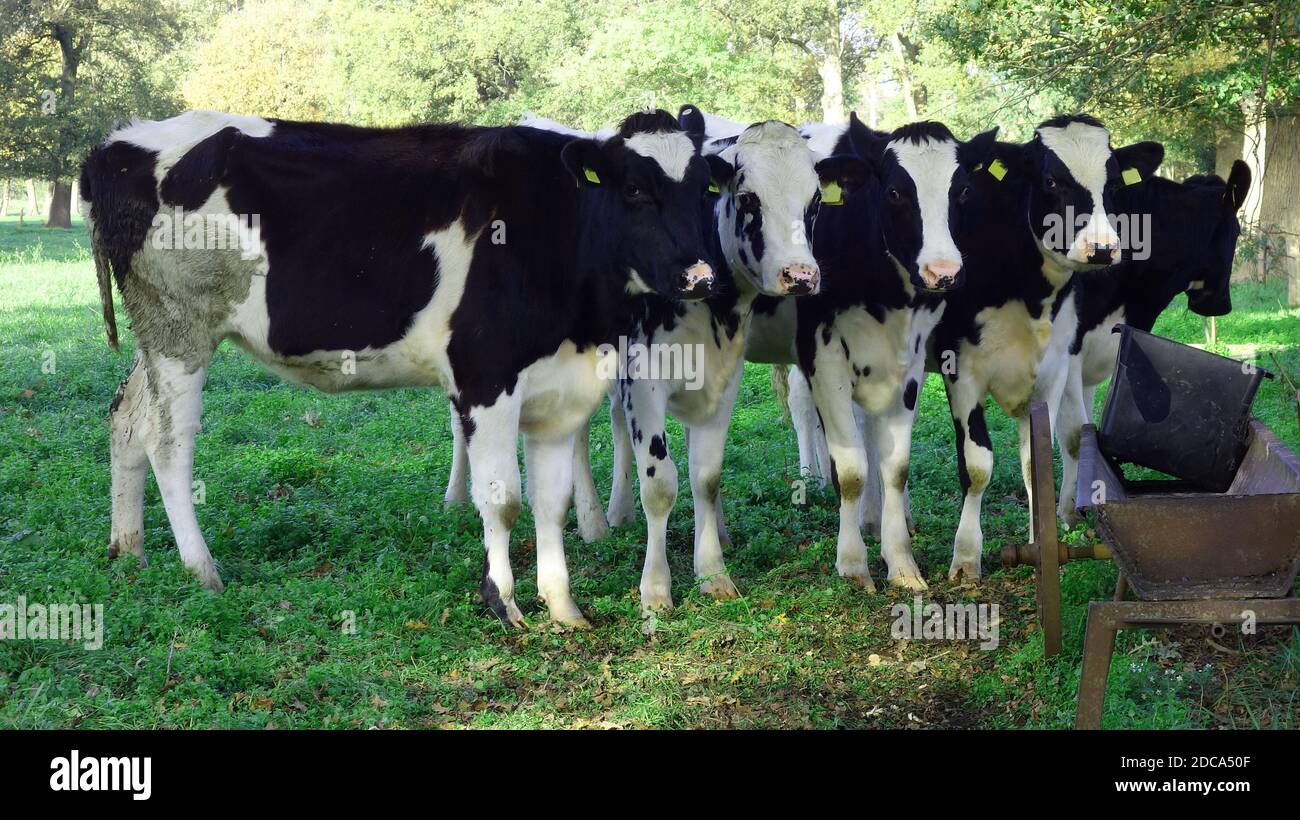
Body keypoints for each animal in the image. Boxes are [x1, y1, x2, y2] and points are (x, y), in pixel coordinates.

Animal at [80, 108, 718, 628]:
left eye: (702, 191)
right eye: (634, 189)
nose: (700, 277)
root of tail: (114, 145)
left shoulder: (558, 388)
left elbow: (551, 501)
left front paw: (562, 606)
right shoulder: (485, 378)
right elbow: (502, 497)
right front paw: (503, 601)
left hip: (157, 334)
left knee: (126, 421)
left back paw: (129, 549)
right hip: (181, 332)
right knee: (168, 444)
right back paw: (200, 567)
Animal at [1051, 160, 1252, 523]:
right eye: (1237, 232)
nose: (1220, 306)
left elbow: (1086, 428)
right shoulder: (1065, 349)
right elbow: (1074, 432)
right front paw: (1071, 511)